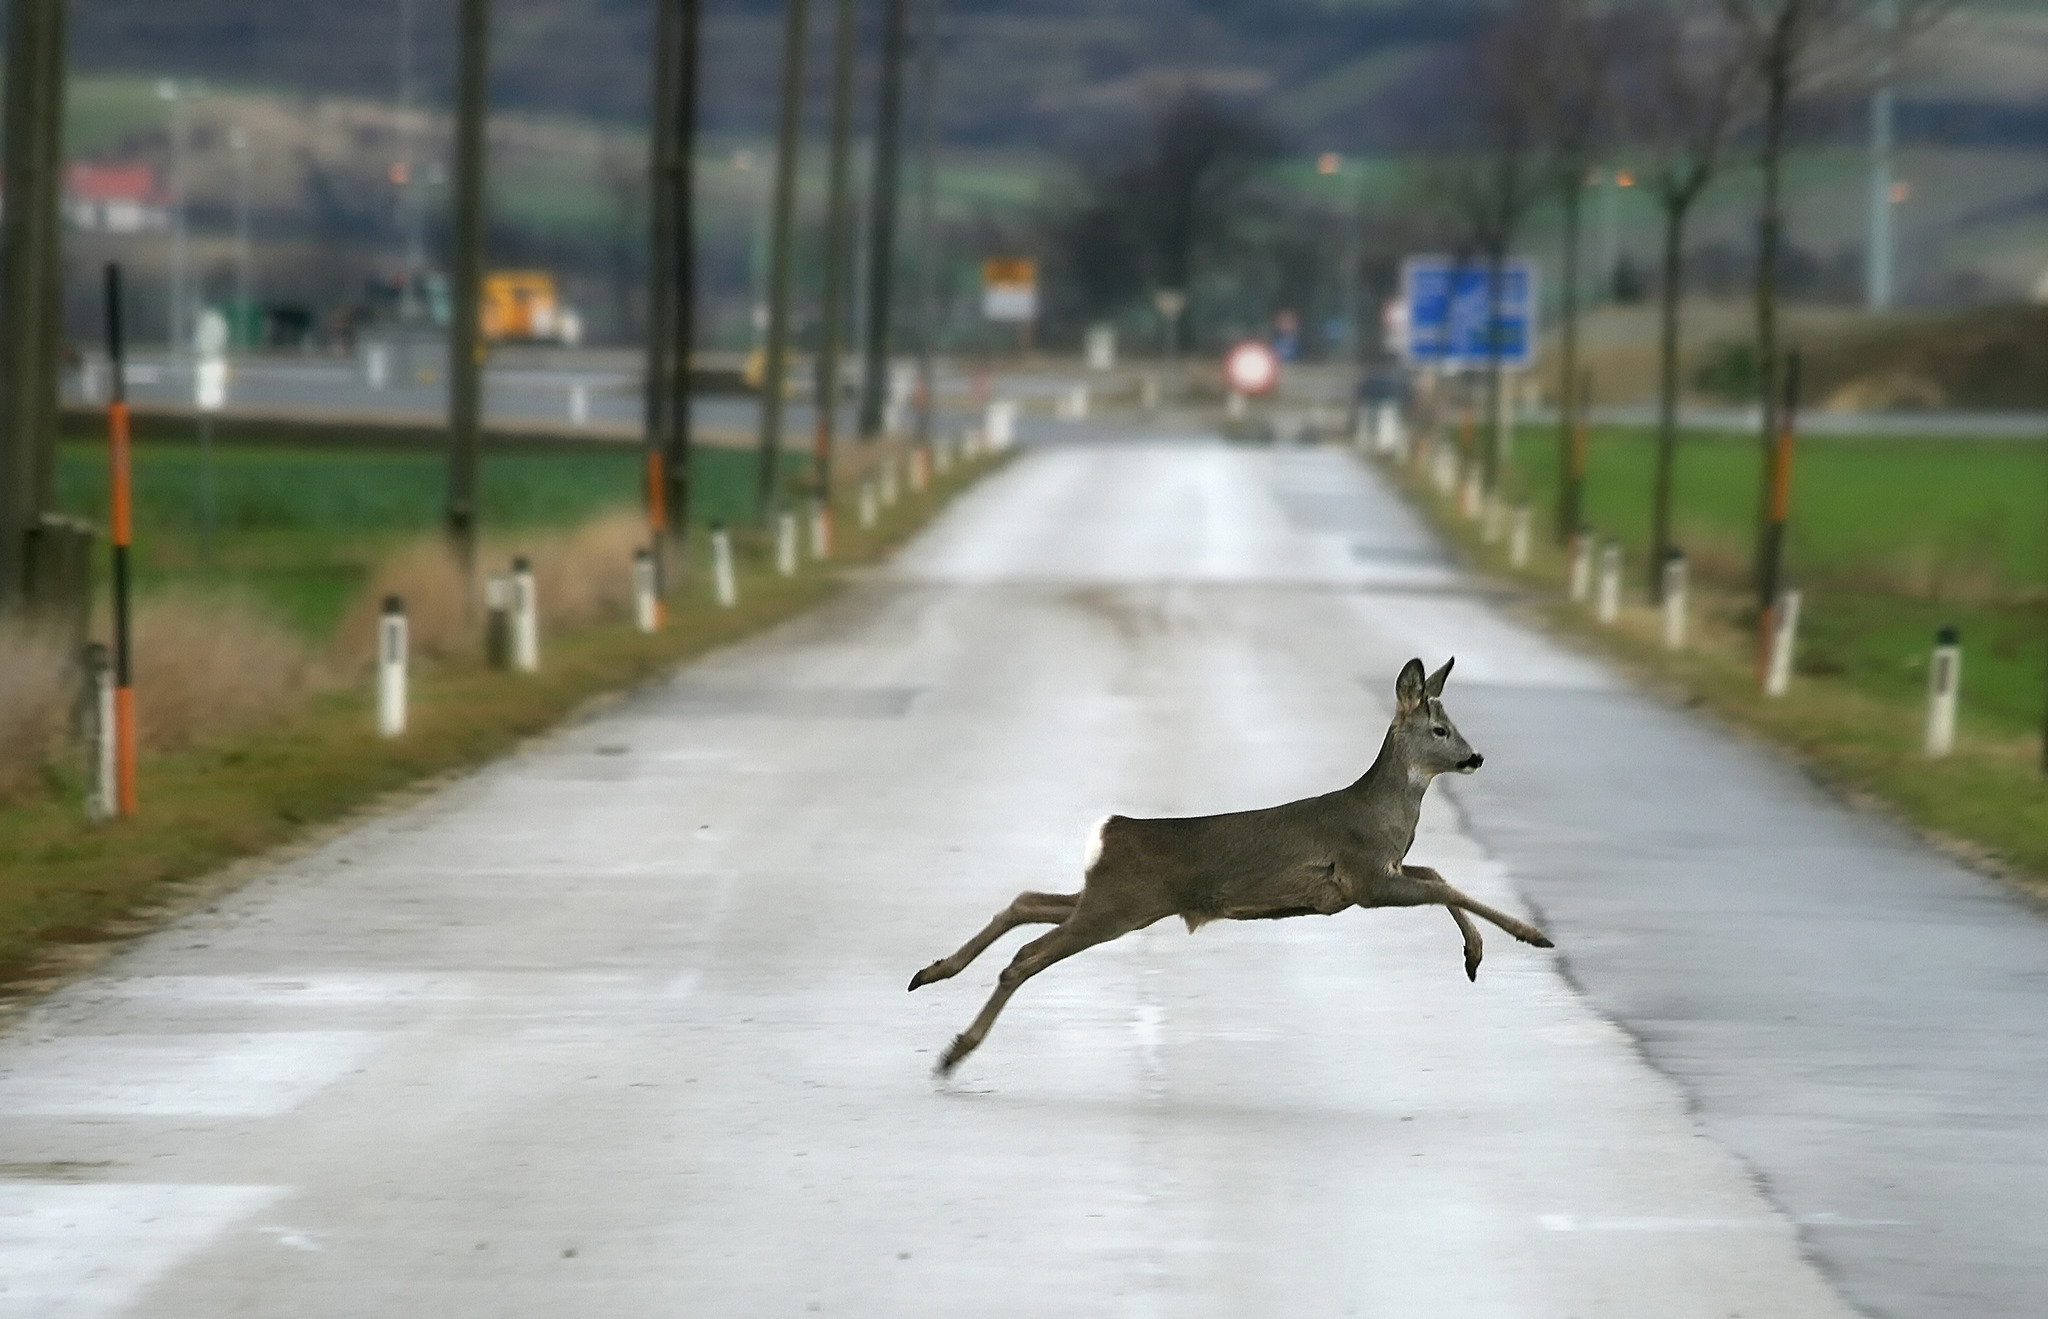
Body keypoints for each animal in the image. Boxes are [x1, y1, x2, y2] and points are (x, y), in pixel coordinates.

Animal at [908, 657, 1554, 1076]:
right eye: (1440, 729)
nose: (1475, 756)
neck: (1382, 814)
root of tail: (1111, 830)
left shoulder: (1383, 873)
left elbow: (1440, 877)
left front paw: (1474, 956)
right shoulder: (1364, 877)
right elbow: (1452, 886)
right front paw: (1531, 936)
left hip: (1113, 897)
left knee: (1025, 903)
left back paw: (930, 974)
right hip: (1119, 905)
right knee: (1025, 956)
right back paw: (954, 1052)